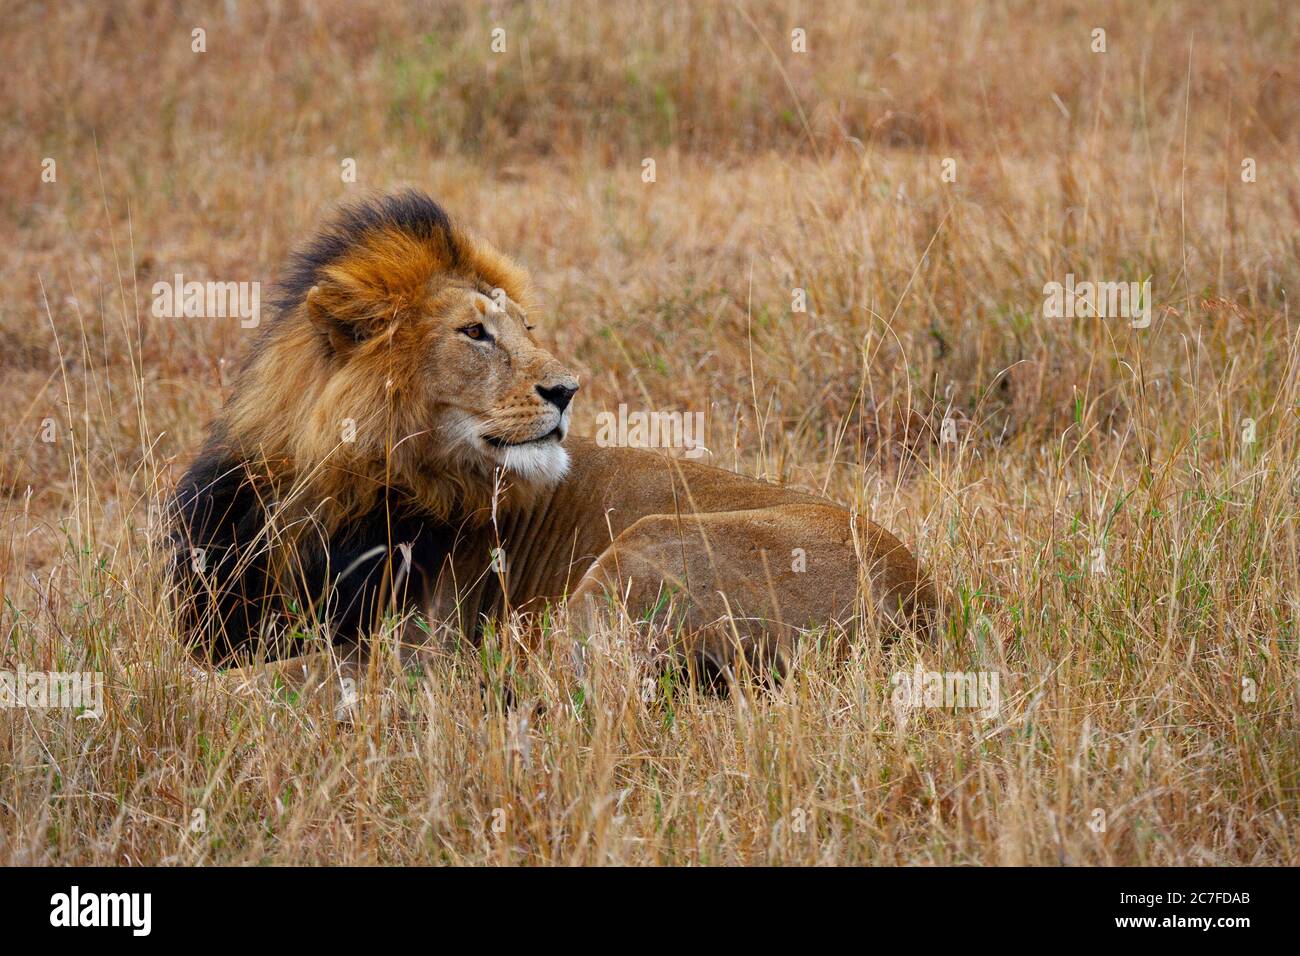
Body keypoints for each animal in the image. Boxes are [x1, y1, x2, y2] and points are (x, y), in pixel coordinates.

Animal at [170, 190, 936, 686]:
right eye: (475, 332)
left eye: (525, 328)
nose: (568, 389)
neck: (334, 492)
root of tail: (920, 604)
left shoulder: (414, 638)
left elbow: (263, 677)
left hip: (647, 547)